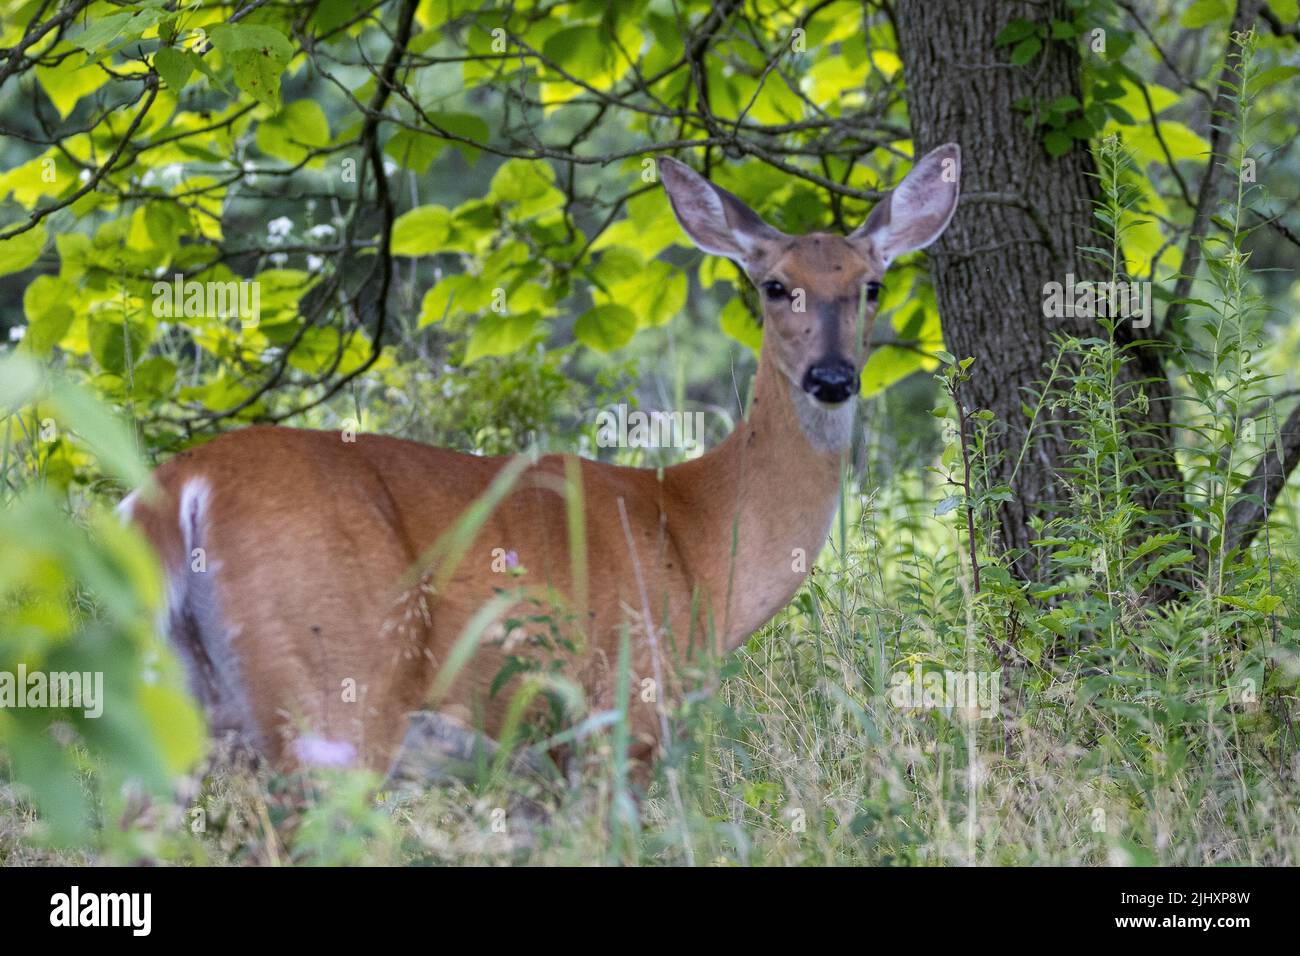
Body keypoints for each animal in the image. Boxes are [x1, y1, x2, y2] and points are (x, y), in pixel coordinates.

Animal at [121, 144, 961, 786]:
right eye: (776, 285)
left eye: (873, 285)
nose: (832, 378)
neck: (698, 534)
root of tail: (180, 488)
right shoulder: (626, 707)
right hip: (335, 690)